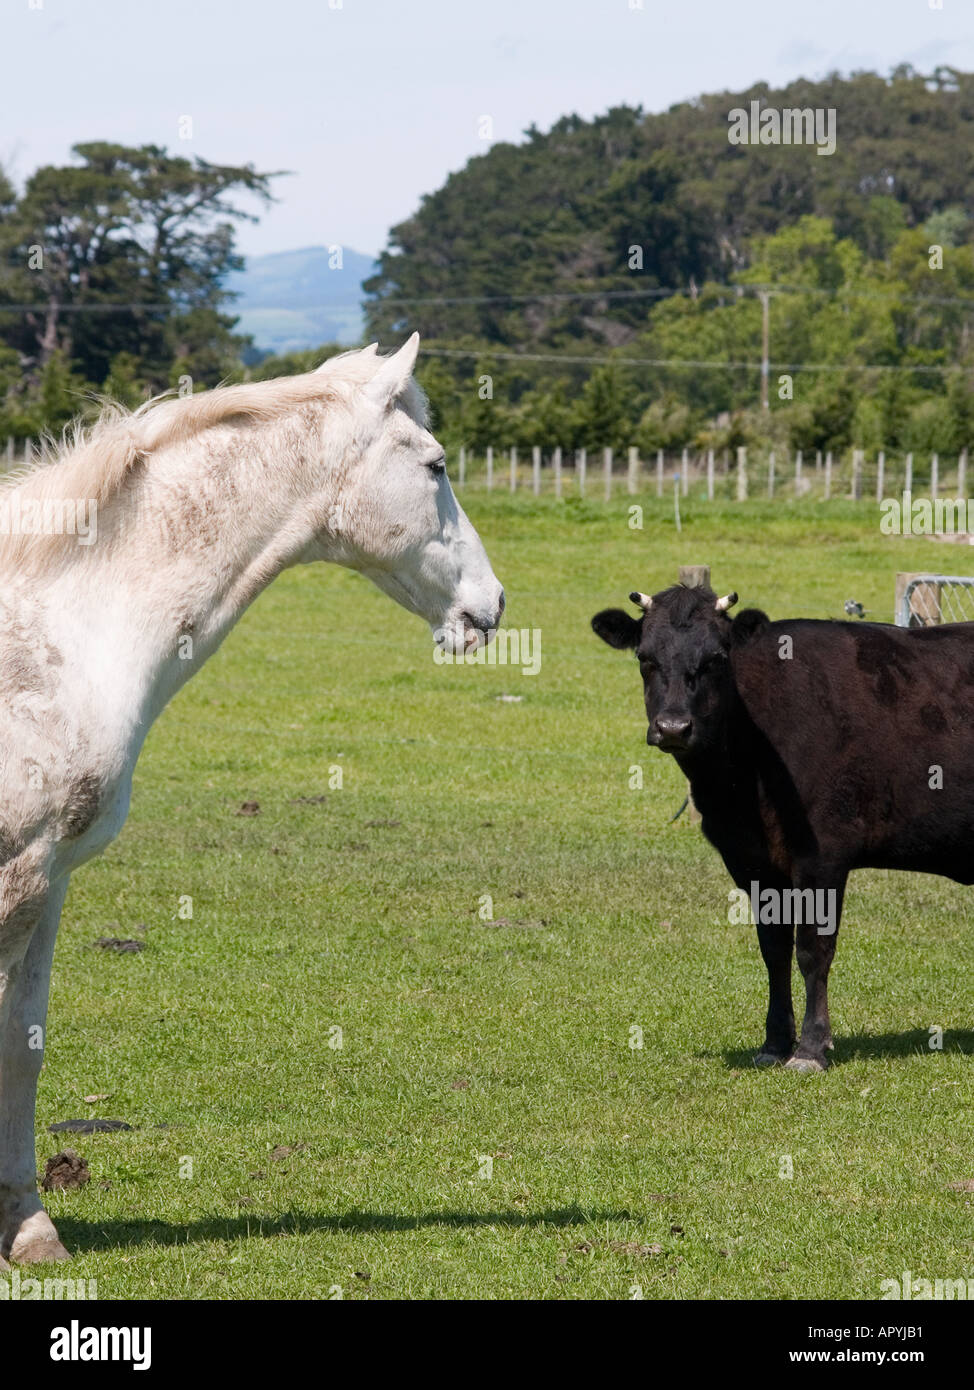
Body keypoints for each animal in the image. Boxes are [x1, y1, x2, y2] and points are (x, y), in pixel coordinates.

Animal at [0, 334, 504, 1264]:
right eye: (436, 464)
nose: (489, 606)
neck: (59, 636)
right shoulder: (17, 873)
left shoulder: (48, 878)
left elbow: (23, 1040)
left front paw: (30, 1226)